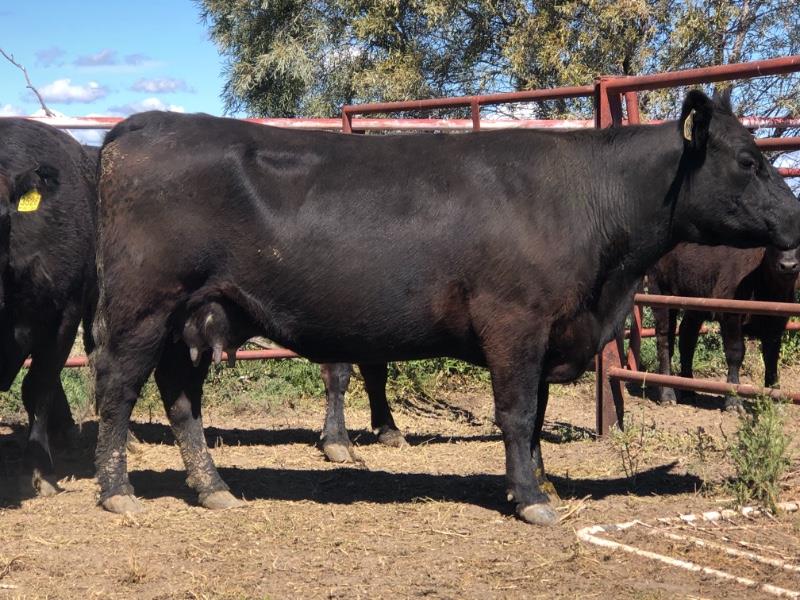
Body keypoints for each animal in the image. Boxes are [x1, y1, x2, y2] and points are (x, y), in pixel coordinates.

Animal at [648, 242, 800, 410]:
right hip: (661, 296)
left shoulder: (777, 325)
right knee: (665, 340)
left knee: (687, 338)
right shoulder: (730, 317)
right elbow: (735, 354)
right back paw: (667, 394)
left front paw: (775, 400)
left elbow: (771, 360)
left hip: (695, 304)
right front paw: (733, 400)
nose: (788, 265)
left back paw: (688, 392)